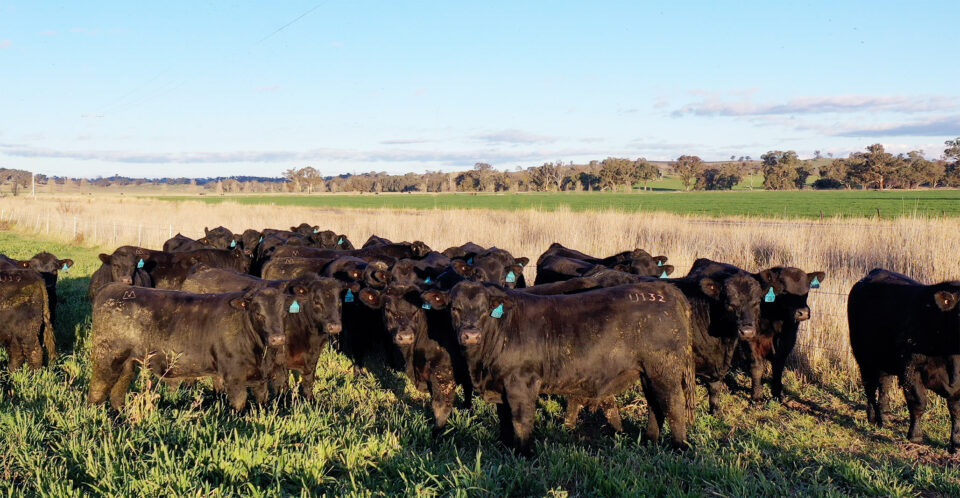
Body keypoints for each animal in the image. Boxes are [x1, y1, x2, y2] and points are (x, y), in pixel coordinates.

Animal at [87, 284, 292, 411]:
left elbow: (262, 403)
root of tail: (113, 287)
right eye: (258, 313)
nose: (278, 338)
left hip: (127, 363)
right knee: (97, 390)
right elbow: (239, 404)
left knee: (118, 391)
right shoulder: (233, 377)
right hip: (107, 359)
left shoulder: (261, 379)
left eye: (283, 312)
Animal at [420, 281, 697, 454]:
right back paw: (650, 440)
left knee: (673, 405)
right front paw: (506, 447)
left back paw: (679, 447)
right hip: (647, 372)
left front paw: (524, 453)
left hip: (664, 369)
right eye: (454, 308)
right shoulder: (501, 385)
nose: (471, 335)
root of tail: (666, 289)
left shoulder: (522, 383)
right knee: (655, 404)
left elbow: (521, 420)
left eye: (485, 309)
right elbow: (505, 420)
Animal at [687, 258, 825, 402]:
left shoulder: (787, 340)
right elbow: (757, 367)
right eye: (784, 291)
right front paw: (757, 396)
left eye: (807, 290)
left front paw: (777, 393)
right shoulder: (750, 340)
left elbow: (778, 367)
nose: (803, 313)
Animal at [849, 269, 960, 452]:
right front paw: (915, 436)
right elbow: (918, 403)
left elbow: (956, 410)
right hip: (863, 357)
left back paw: (885, 416)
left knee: (884, 385)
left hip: (884, 360)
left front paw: (956, 444)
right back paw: (872, 417)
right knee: (870, 387)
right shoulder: (911, 370)